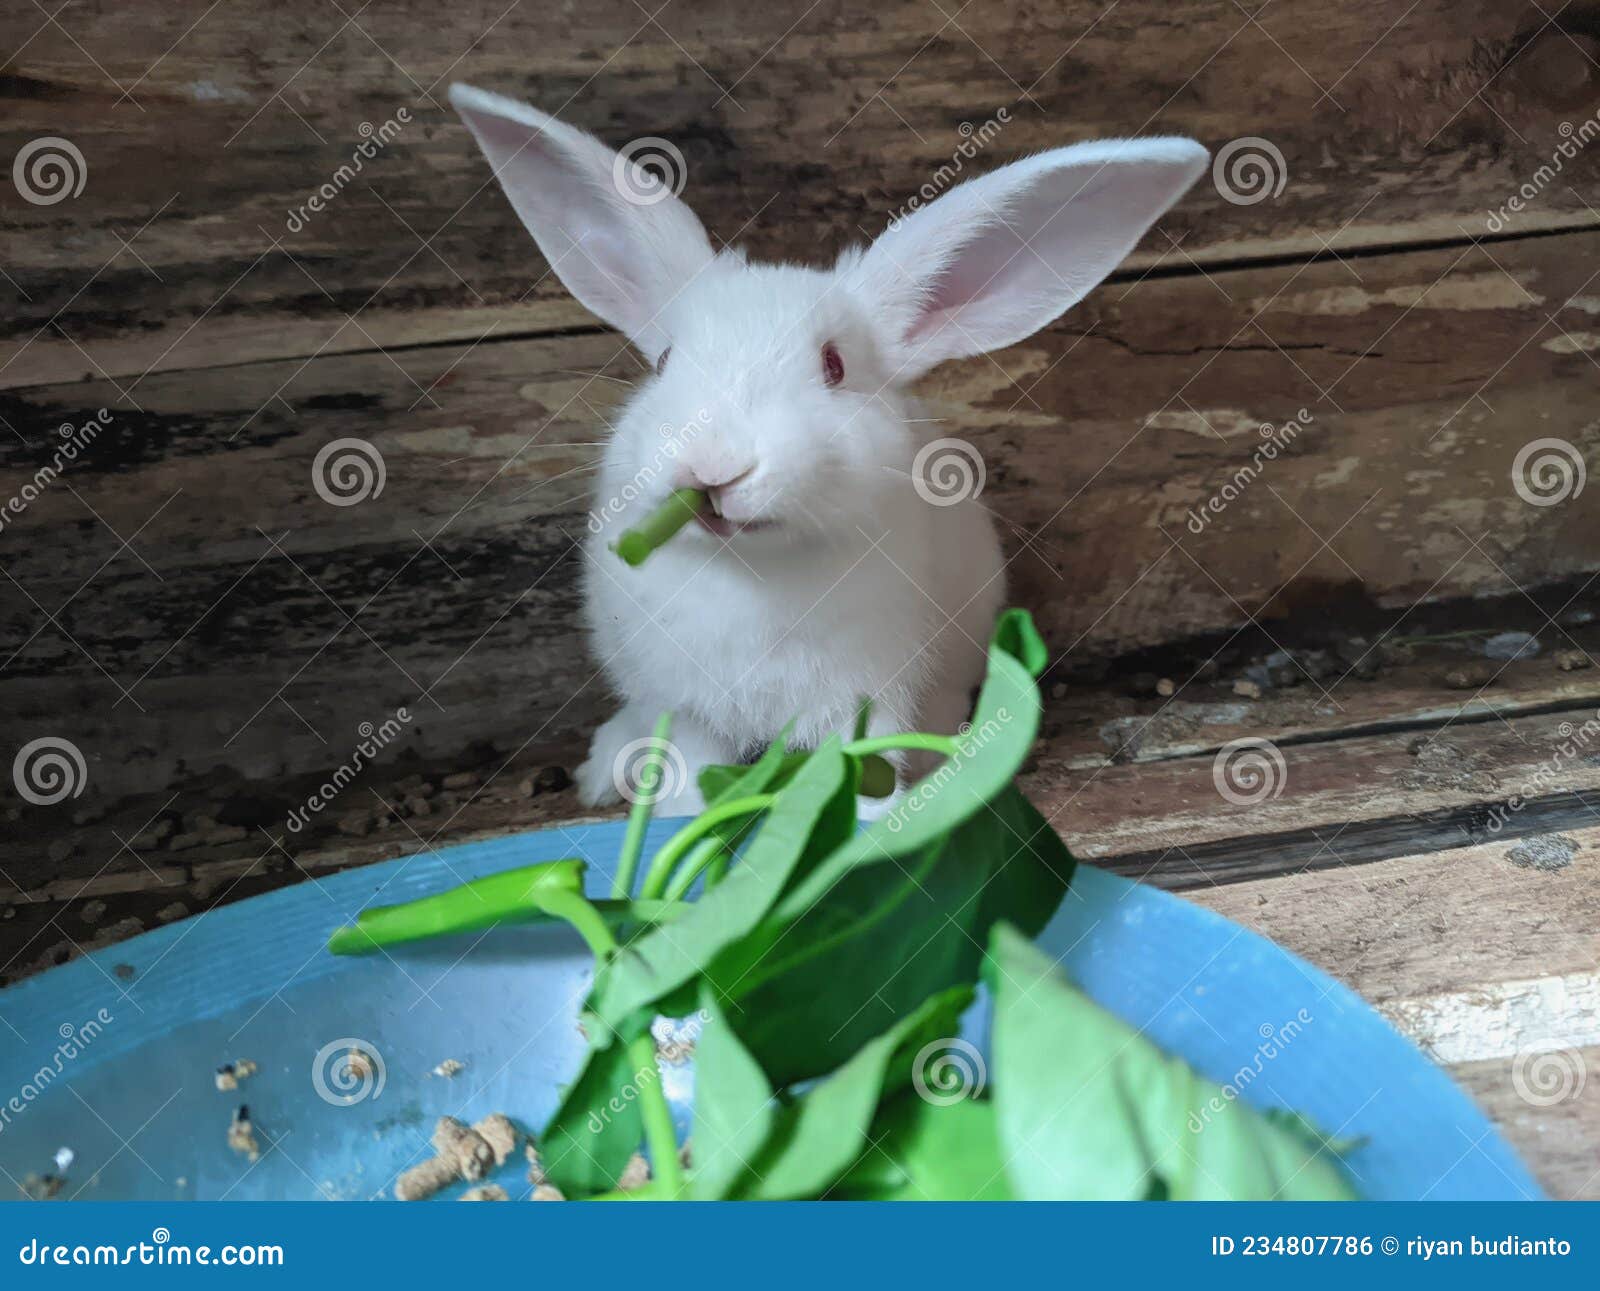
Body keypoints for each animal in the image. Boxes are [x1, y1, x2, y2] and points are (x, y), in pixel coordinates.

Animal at [450, 84, 1207, 812]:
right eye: (664, 361)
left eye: (834, 366)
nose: (712, 464)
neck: (749, 569)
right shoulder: (683, 709)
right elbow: (688, 765)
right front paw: (677, 814)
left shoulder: (864, 695)